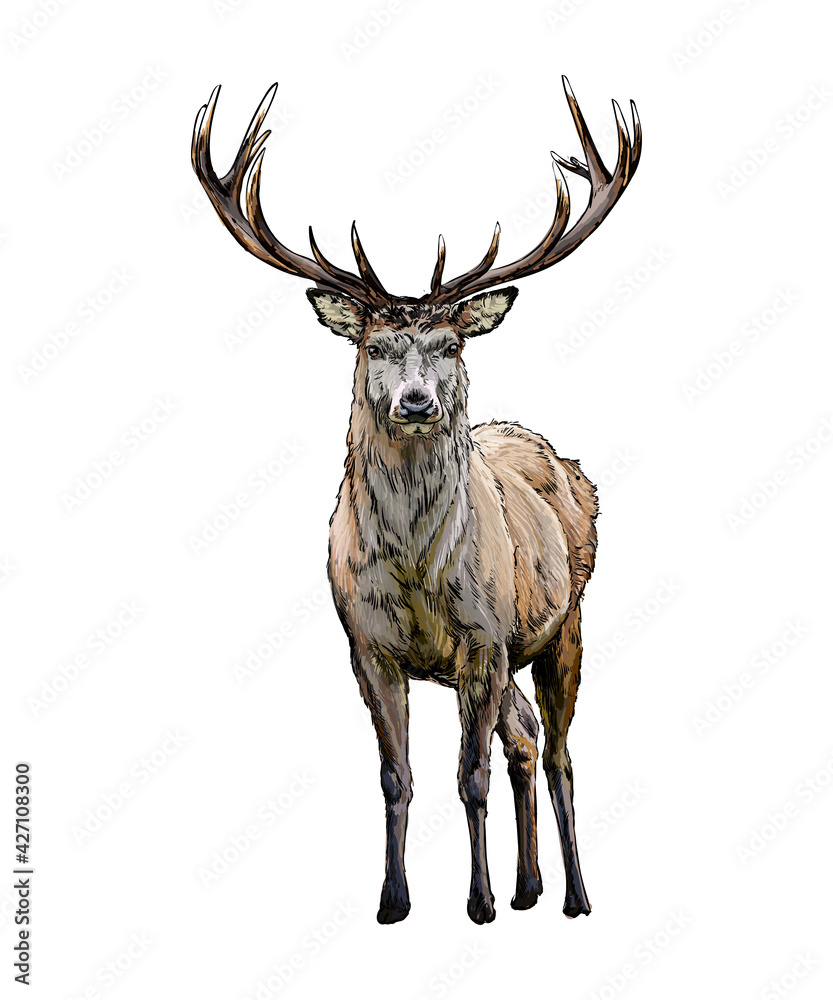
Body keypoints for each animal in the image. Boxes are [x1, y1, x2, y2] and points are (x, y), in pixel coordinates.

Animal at [192, 76, 642, 924]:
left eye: (451, 344)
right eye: (375, 345)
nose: (414, 403)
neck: (417, 576)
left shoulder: (484, 637)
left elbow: (469, 776)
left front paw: (478, 902)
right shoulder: (365, 643)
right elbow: (395, 776)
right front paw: (394, 902)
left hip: (563, 620)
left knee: (558, 751)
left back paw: (571, 896)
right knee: (523, 737)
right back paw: (531, 887)